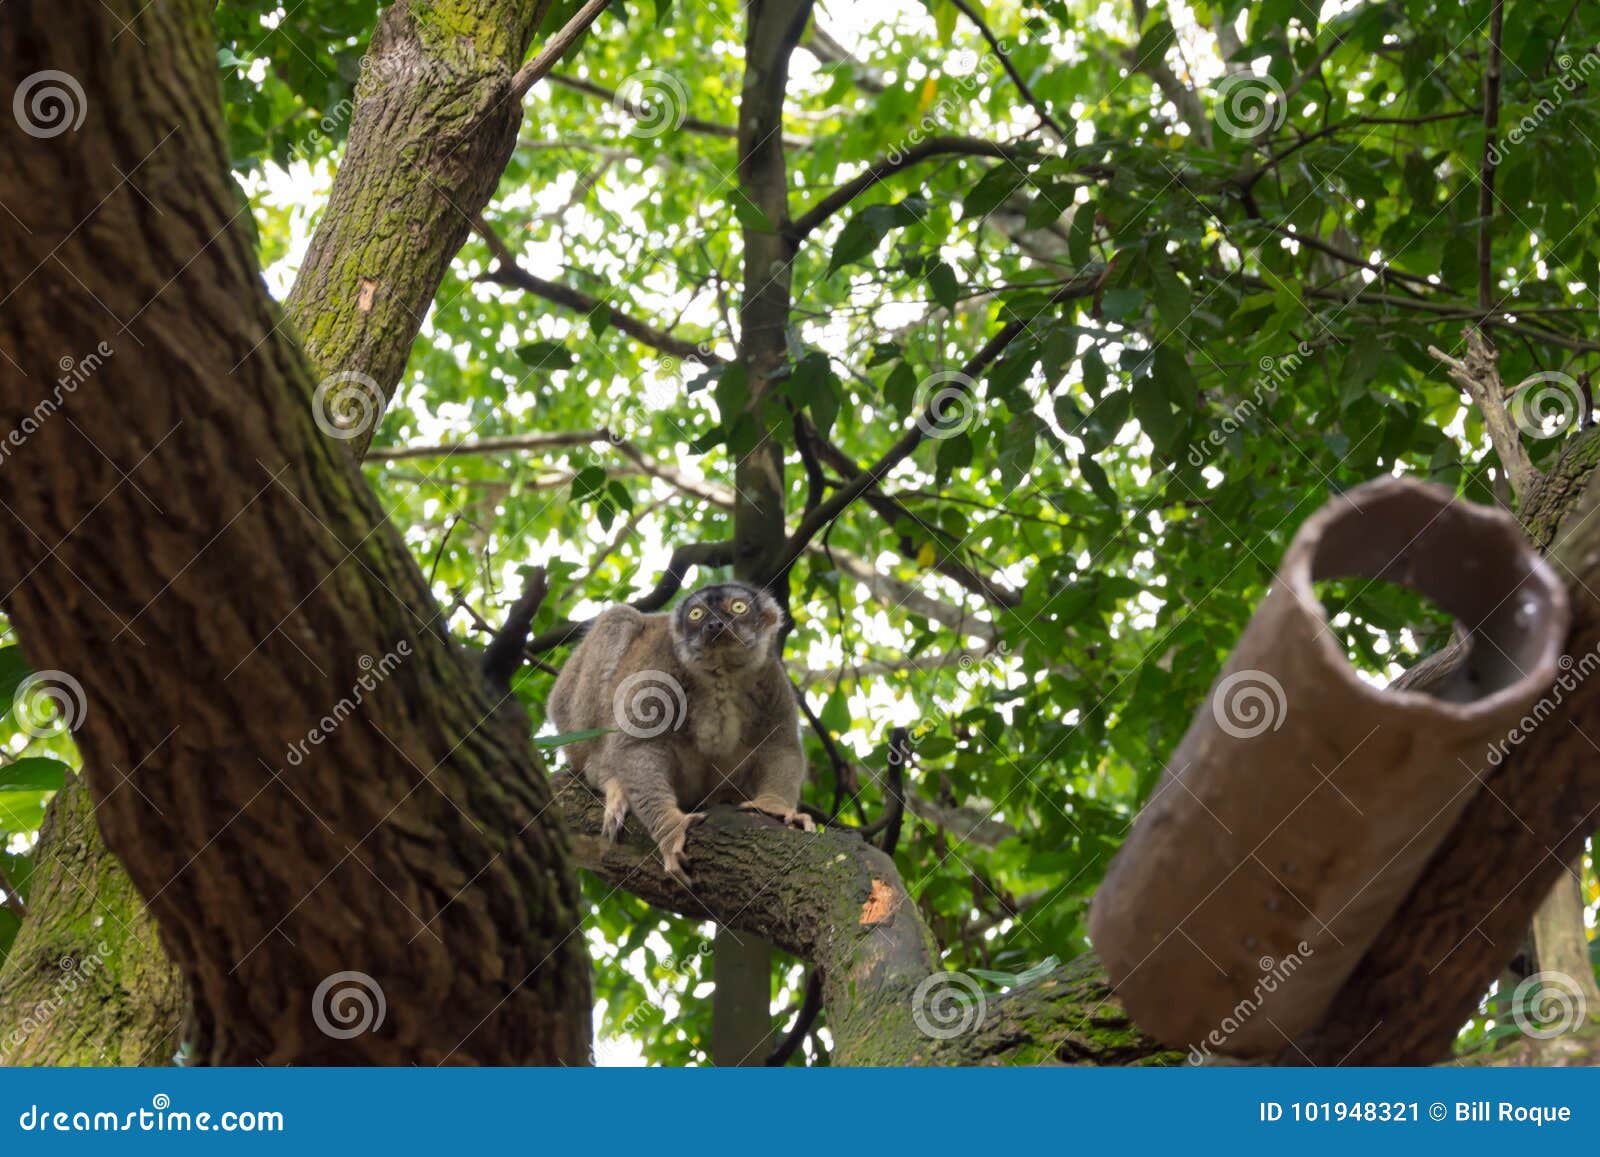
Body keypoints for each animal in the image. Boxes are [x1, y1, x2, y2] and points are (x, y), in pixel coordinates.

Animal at [547, 581, 813, 882]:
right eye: (696, 614)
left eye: (738, 607)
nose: (715, 624)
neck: (721, 673)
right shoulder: (663, 668)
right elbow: (635, 745)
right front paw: (669, 827)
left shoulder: (769, 676)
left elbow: (782, 745)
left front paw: (776, 808)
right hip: (570, 720)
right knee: (617, 620)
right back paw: (608, 779)